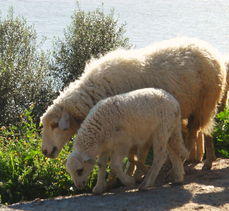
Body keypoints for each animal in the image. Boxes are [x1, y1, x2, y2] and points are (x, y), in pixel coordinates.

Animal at [40, 37, 225, 171]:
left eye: (55, 125)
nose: (45, 151)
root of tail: (208, 48)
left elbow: (133, 153)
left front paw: (132, 172)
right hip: (199, 107)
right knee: (205, 131)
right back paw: (205, 160)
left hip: (204, 103)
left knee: (195, 132)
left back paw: (191, 159)